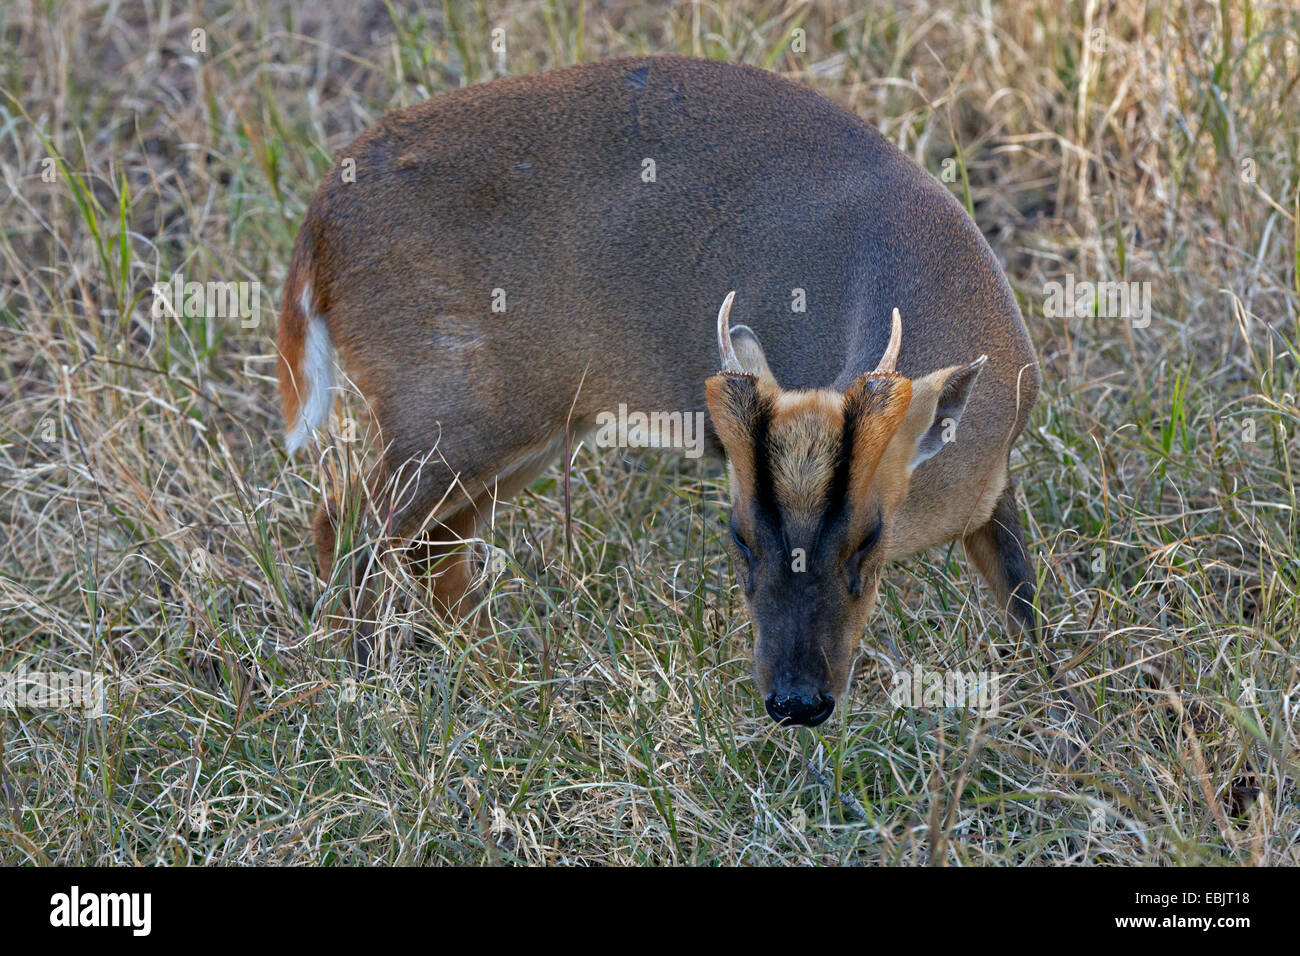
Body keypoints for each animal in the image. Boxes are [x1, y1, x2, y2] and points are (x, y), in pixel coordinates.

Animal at [277, 55, 1051, 731]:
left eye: (869, 538)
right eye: (738, 535)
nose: (797, 701)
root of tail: (317, 226)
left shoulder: (996, 484)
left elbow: (1025, 601)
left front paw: (1049, 696)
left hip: (532, 424)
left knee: (430, 541)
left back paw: (503, 678)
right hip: (446, 403)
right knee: (348, 524)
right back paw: (366, 692)